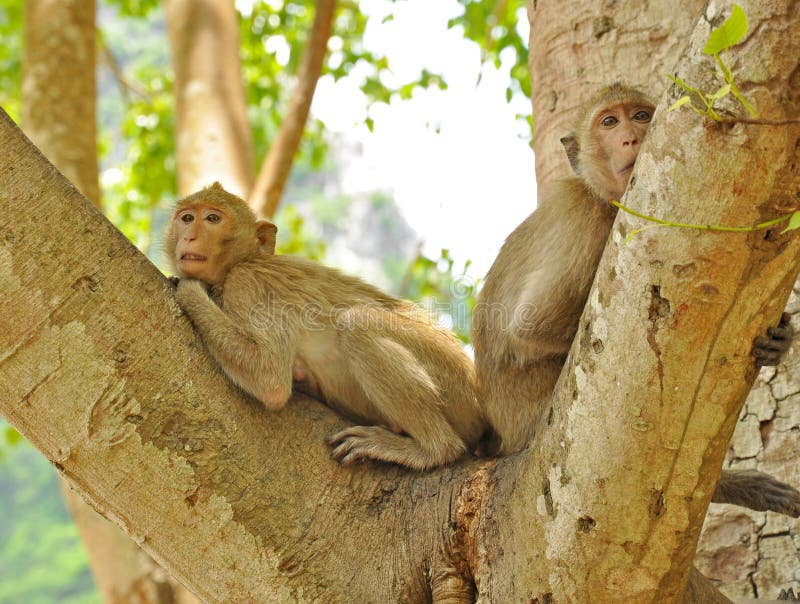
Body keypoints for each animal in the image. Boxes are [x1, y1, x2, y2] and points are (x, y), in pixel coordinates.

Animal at [165, 182, 486, 471]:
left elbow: (271, 380)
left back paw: (432, 449)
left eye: (212, 219)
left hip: (452, 381)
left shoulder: (247, 284)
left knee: (358, 324)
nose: (190, 236)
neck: (243, 260)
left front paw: (190, 291)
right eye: (187, 218)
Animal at [471, 83, 800, 517]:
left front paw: (779, 340)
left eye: (641, 116)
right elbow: (530, 327)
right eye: (609, 122)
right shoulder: (585, 219)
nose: (630, 137)